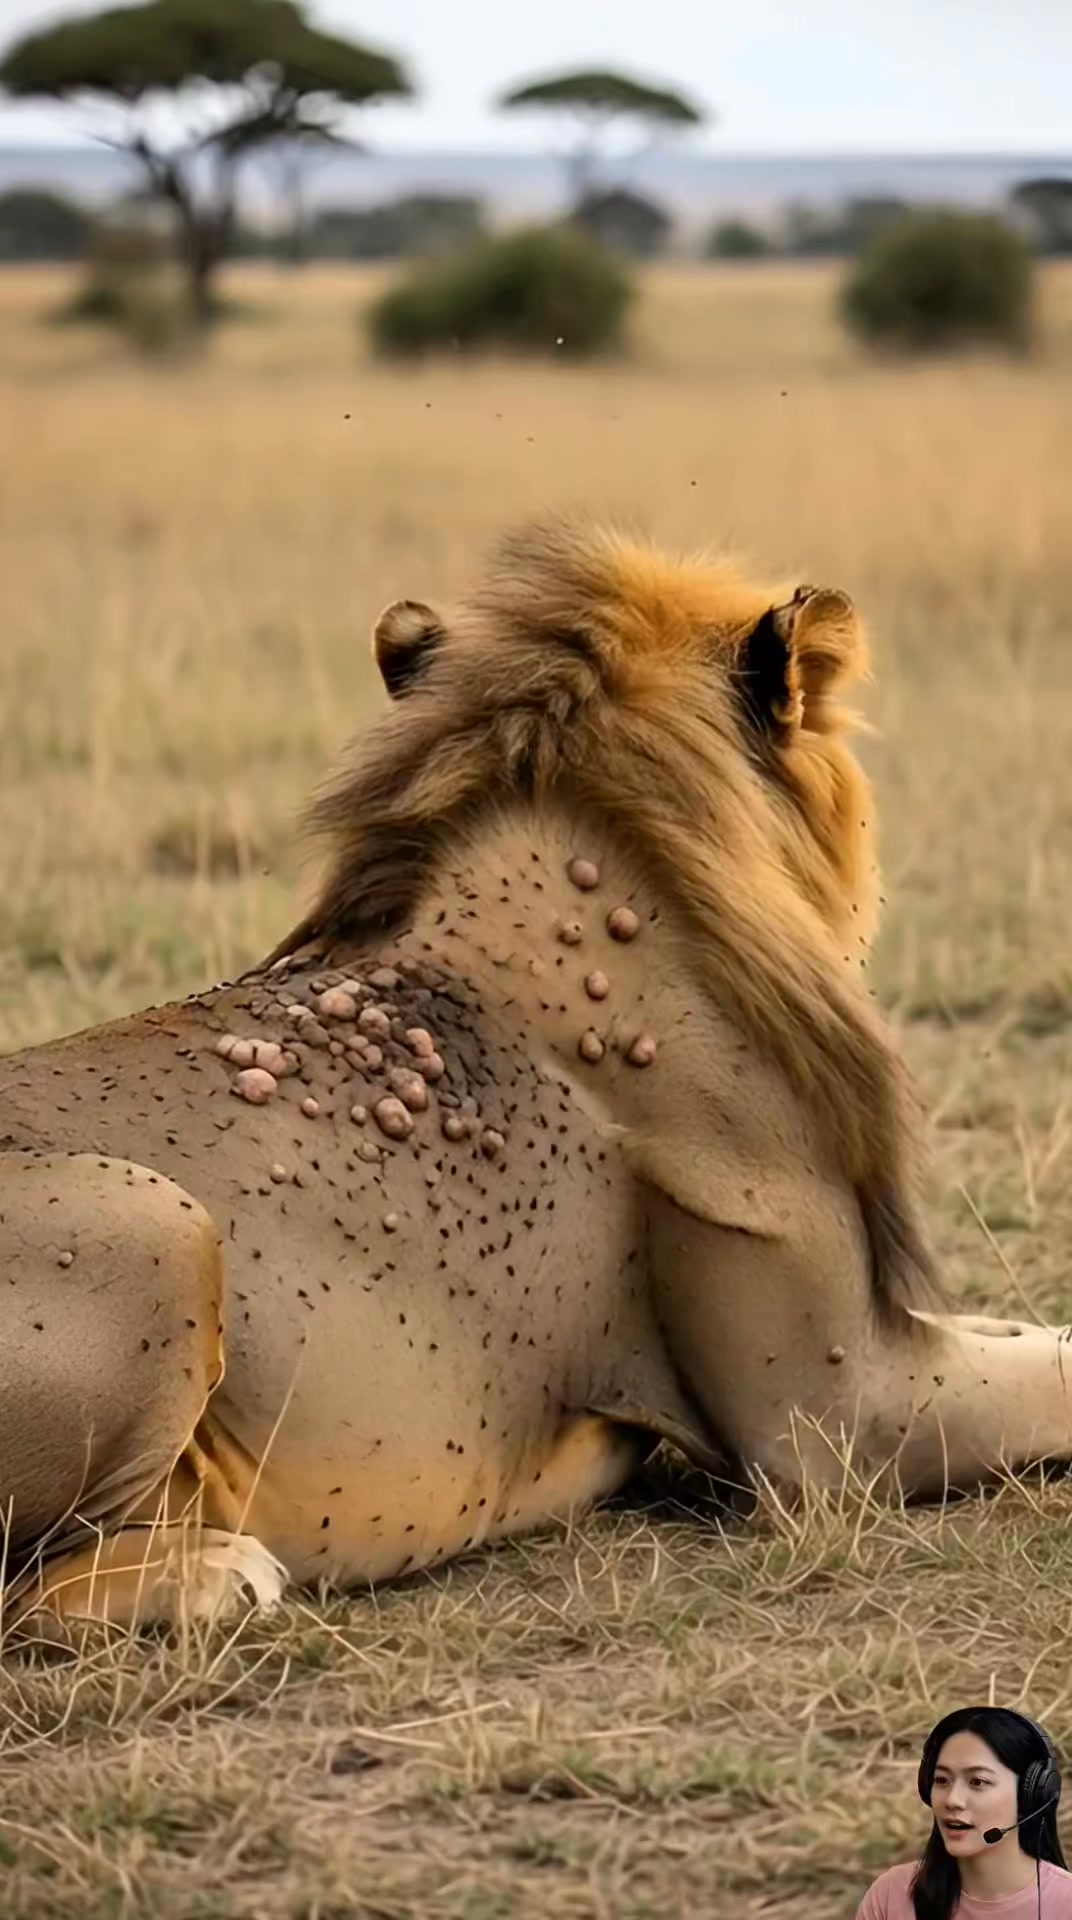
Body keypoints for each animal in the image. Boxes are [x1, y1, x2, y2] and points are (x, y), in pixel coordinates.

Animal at [2, 516, 1070, 1634]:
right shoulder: (834, 1419)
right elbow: (1053, 1374)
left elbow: (1030, 1333)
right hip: (154, 1221)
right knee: (29, 1594)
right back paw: (214, 1572)